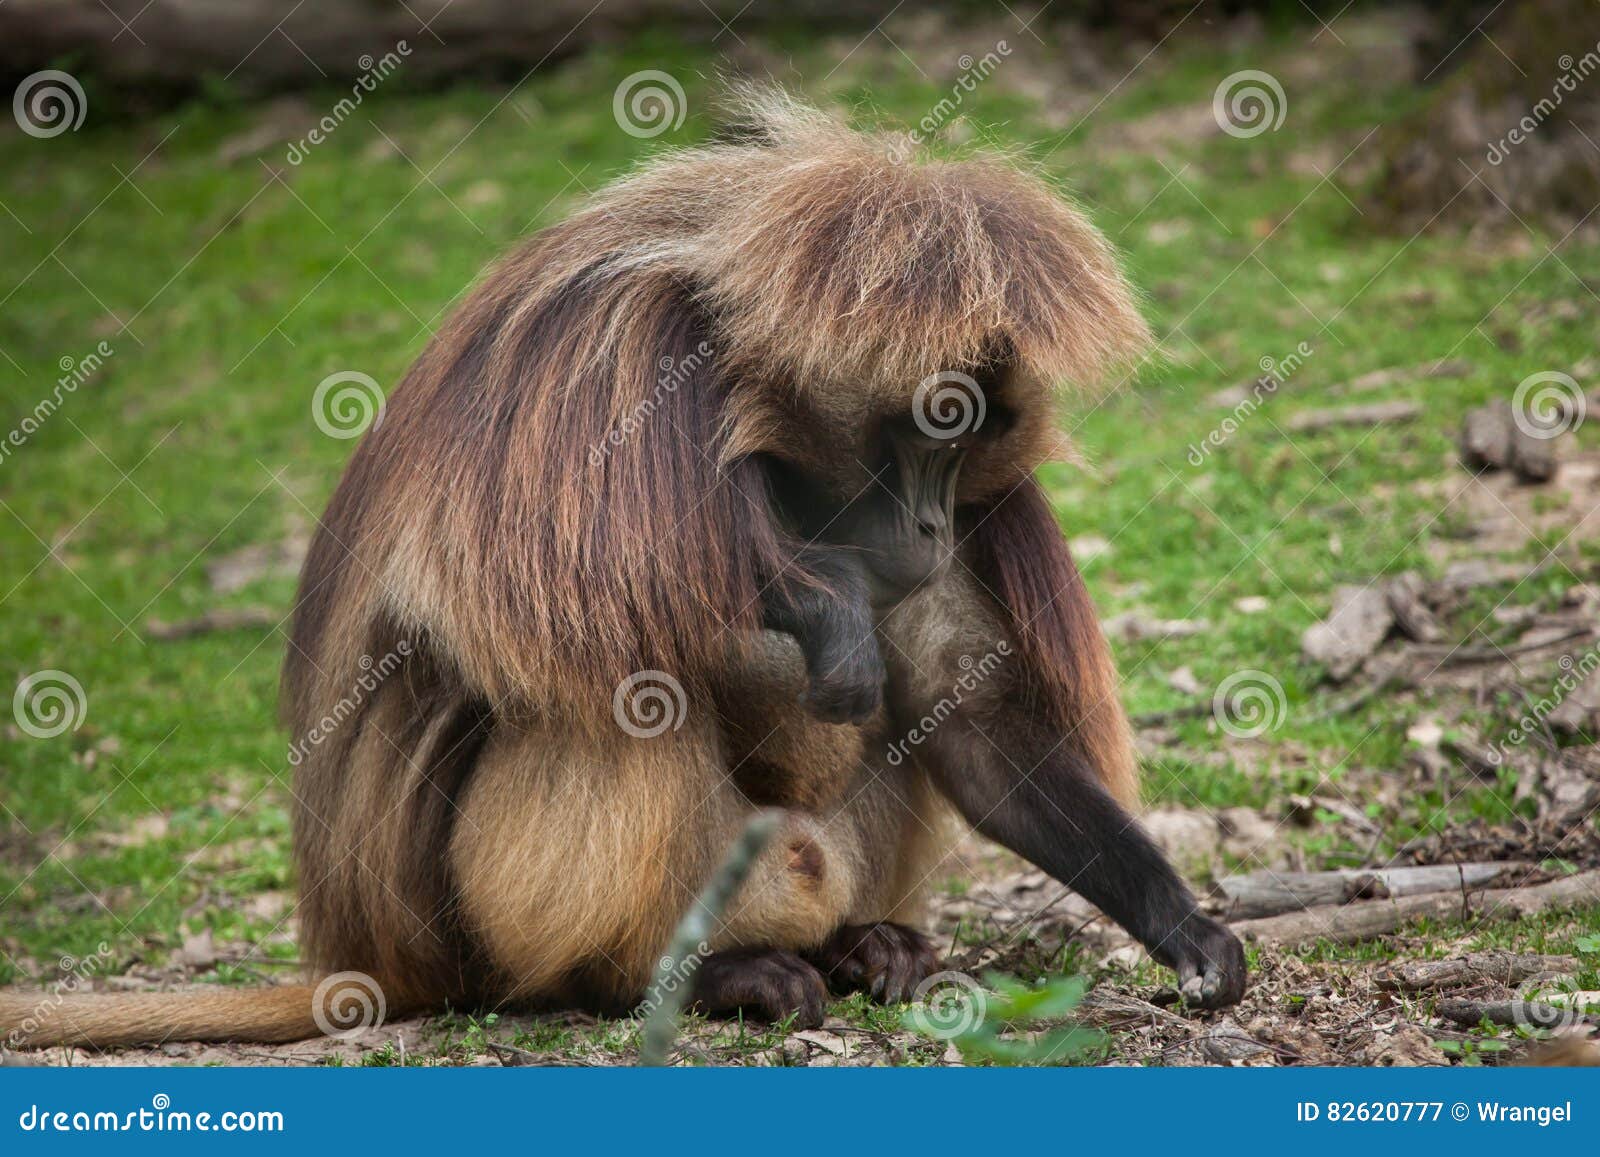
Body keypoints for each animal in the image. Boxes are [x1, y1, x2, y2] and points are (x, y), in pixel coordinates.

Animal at [0, 88, 1244, 1050]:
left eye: (968, 441)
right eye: (933, 424)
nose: (936, 530)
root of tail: (379, 957)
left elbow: (963, 714)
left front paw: (1183, 926)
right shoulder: (607, 356)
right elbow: (533, 594)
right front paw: (817, 601)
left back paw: (863, 945)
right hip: (493, 931)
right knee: (615, 696)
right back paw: (662, 977)